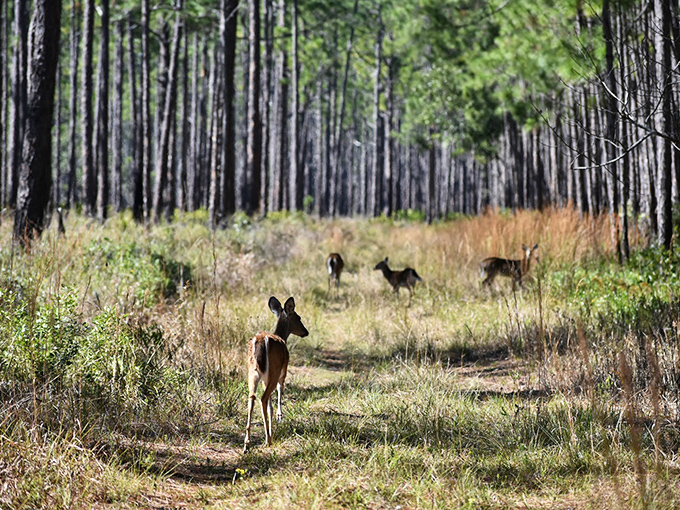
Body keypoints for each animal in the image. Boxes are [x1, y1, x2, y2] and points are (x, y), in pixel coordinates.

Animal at [243, 296, 309, 453]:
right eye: (298, 317)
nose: (306, 332)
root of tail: (261, 341)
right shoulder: (283, 371)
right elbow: (280, 391)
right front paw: (280, 416)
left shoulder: (264, 379)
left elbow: (270, 406)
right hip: (274, 370)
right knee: (263, 398)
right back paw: (267, 439)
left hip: (252, 372)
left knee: (252, 397)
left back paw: (247, 443)